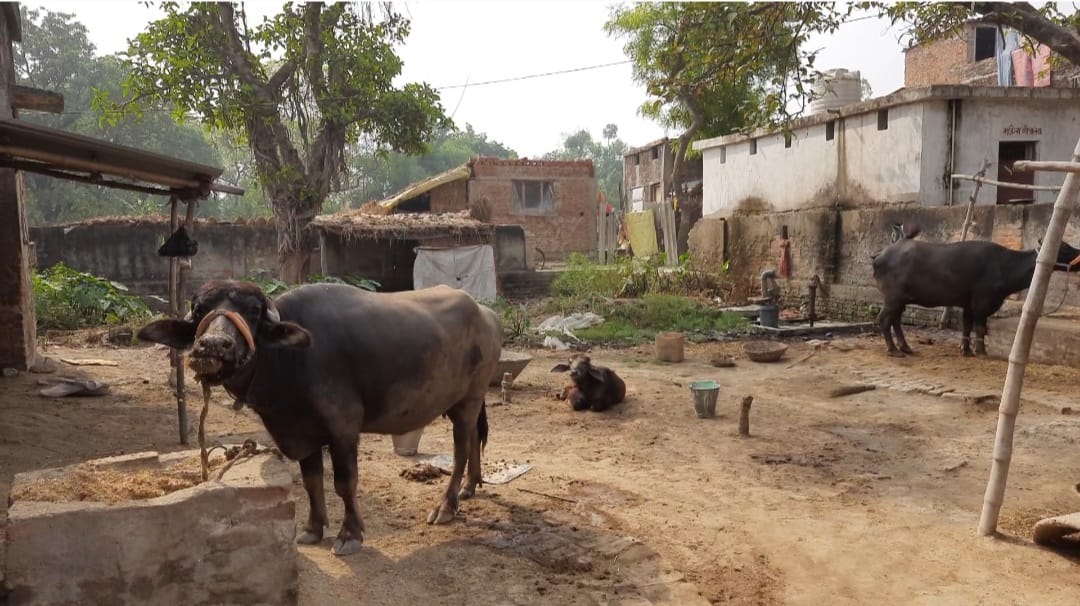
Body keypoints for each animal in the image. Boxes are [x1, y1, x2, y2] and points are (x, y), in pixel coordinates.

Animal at [137, 280, 502, 556]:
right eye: (200, 310)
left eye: (253, 311)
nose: (213, 345)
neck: (290, 361)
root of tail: (486, 314)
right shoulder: (301, 432)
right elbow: (312, 481)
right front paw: (313, 529)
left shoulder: (343, 429)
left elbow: (344, 483)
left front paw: (349, 534)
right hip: (463, 403)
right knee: (473, 441)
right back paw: (469, 488)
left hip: (469, 400)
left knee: (460, 450)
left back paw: (447, 506)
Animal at [871, 226, 1080, 357]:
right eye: (1064, 247)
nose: (1079, 253)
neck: (1004, 266)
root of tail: (879, 256)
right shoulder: (982, 302)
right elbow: (980, 327)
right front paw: (981, 351)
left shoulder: (968, 304)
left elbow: (966, 325)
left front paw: (965, 349)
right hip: (892, 298)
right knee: (884, 319)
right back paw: (893, 350)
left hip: (900, 300)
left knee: (895, 321)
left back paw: (905, 347)